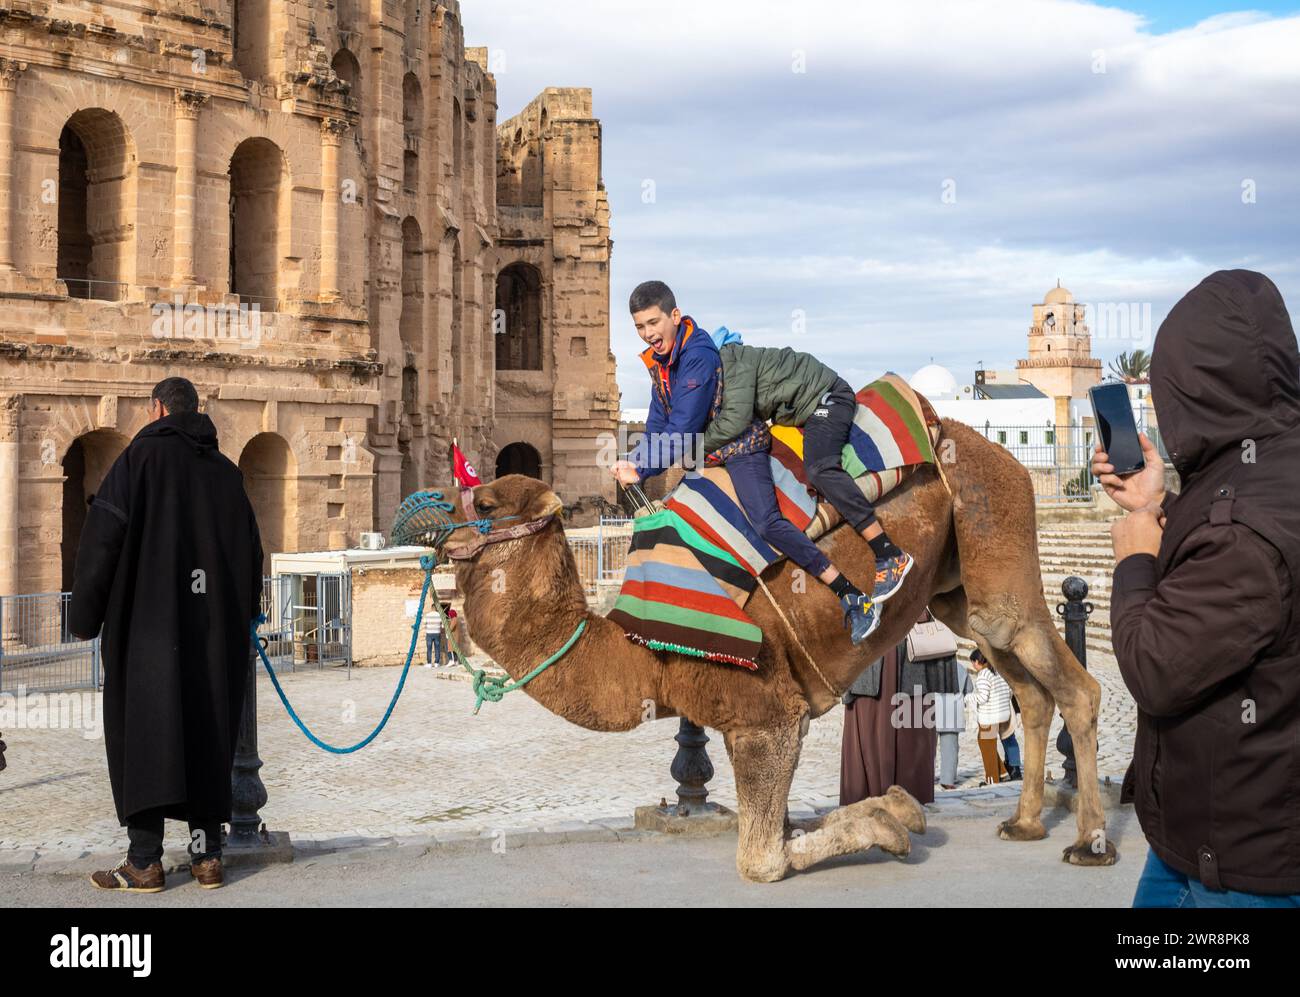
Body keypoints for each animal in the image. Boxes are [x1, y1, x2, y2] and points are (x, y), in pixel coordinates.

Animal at [442, 418, 1113, 882]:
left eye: (485, 502)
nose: (431, 521)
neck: (645, 657)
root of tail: (1001, 457)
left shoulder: (764, 715)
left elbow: (761, 858)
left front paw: (887, 824)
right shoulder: (777, 716)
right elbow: (787, 823)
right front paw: (895, 808)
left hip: (994, 533)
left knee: (1071, 681)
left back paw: (1089, 844)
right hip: (957, 591)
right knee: (1027, 687)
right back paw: (1025, 824)